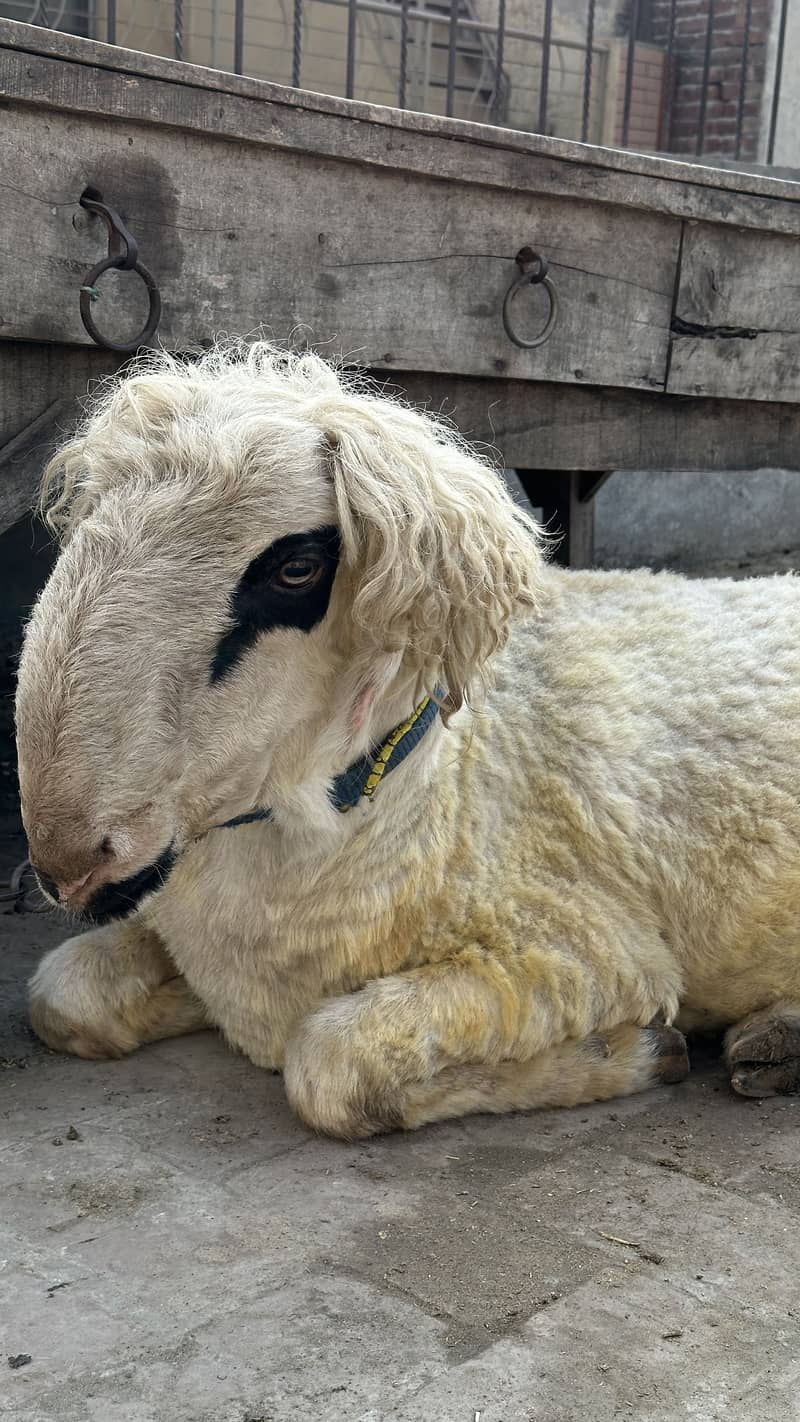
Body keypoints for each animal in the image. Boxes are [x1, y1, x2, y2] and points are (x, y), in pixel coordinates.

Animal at [15, 341, 800, 1138]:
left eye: (296, 567)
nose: (67, 863)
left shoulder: (581, 952)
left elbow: (328, 1065)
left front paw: (637, 1052)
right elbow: (62, 995)